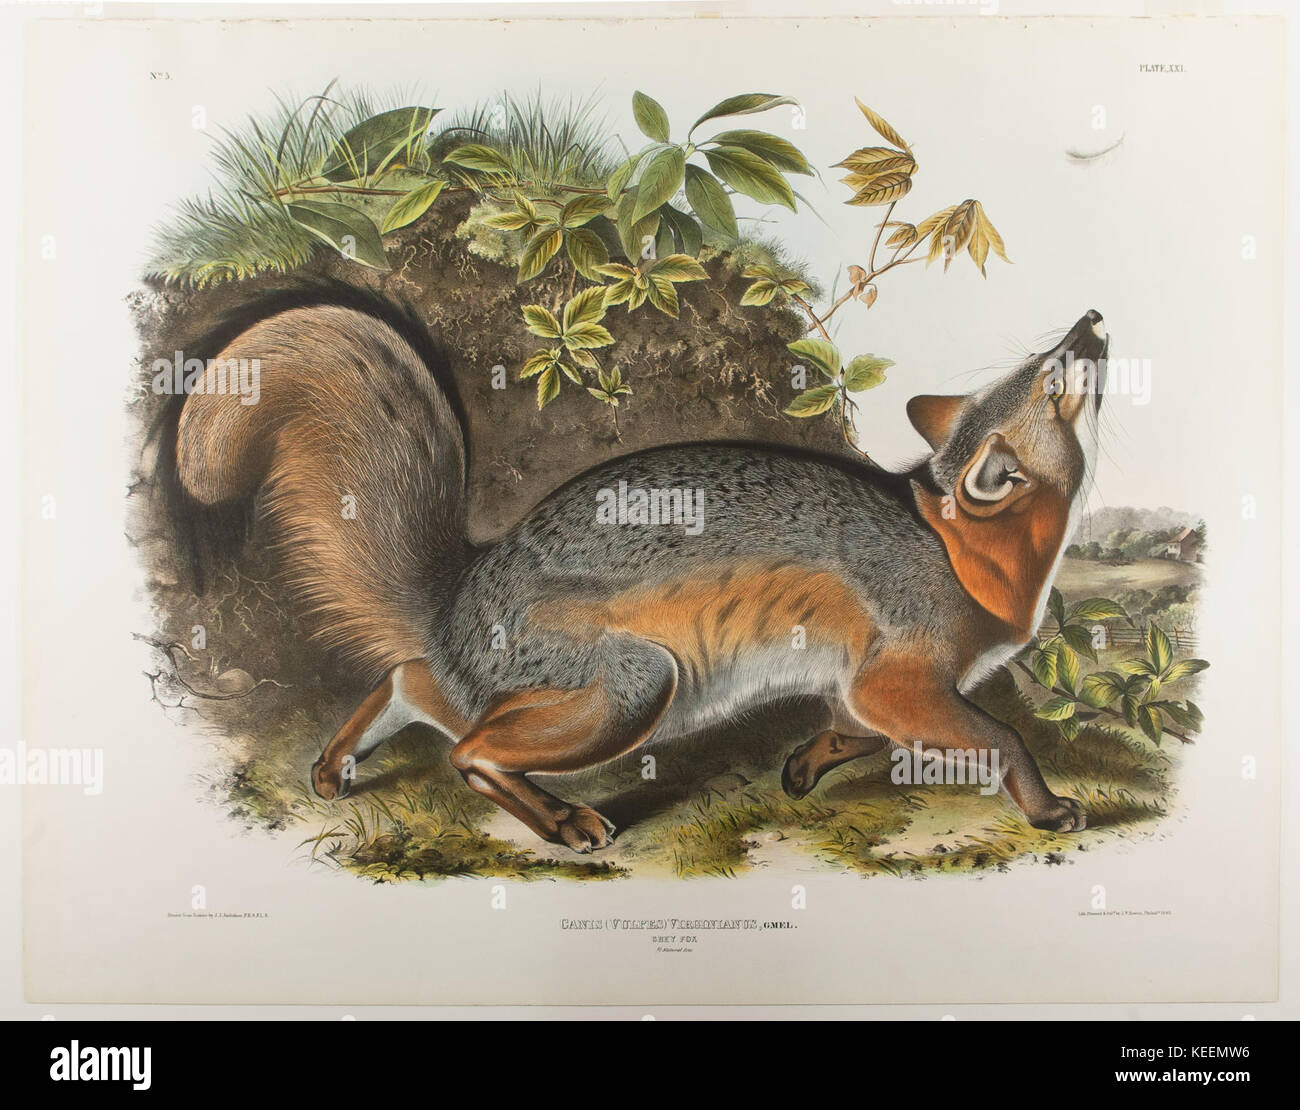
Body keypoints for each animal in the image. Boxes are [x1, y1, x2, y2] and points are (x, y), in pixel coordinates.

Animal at [162, 293, 1108, 852]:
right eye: (1054, 376)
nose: (1094, 320)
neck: (961, 548)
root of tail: (462, 593)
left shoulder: (868, 683)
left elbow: (859, 729)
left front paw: (806, 765)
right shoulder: (899, 677)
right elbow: (1001, 737)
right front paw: (1046, 807)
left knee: (410, 680)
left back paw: (337, 763)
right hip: (638, 687)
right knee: (467, 748)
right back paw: (564, 821)